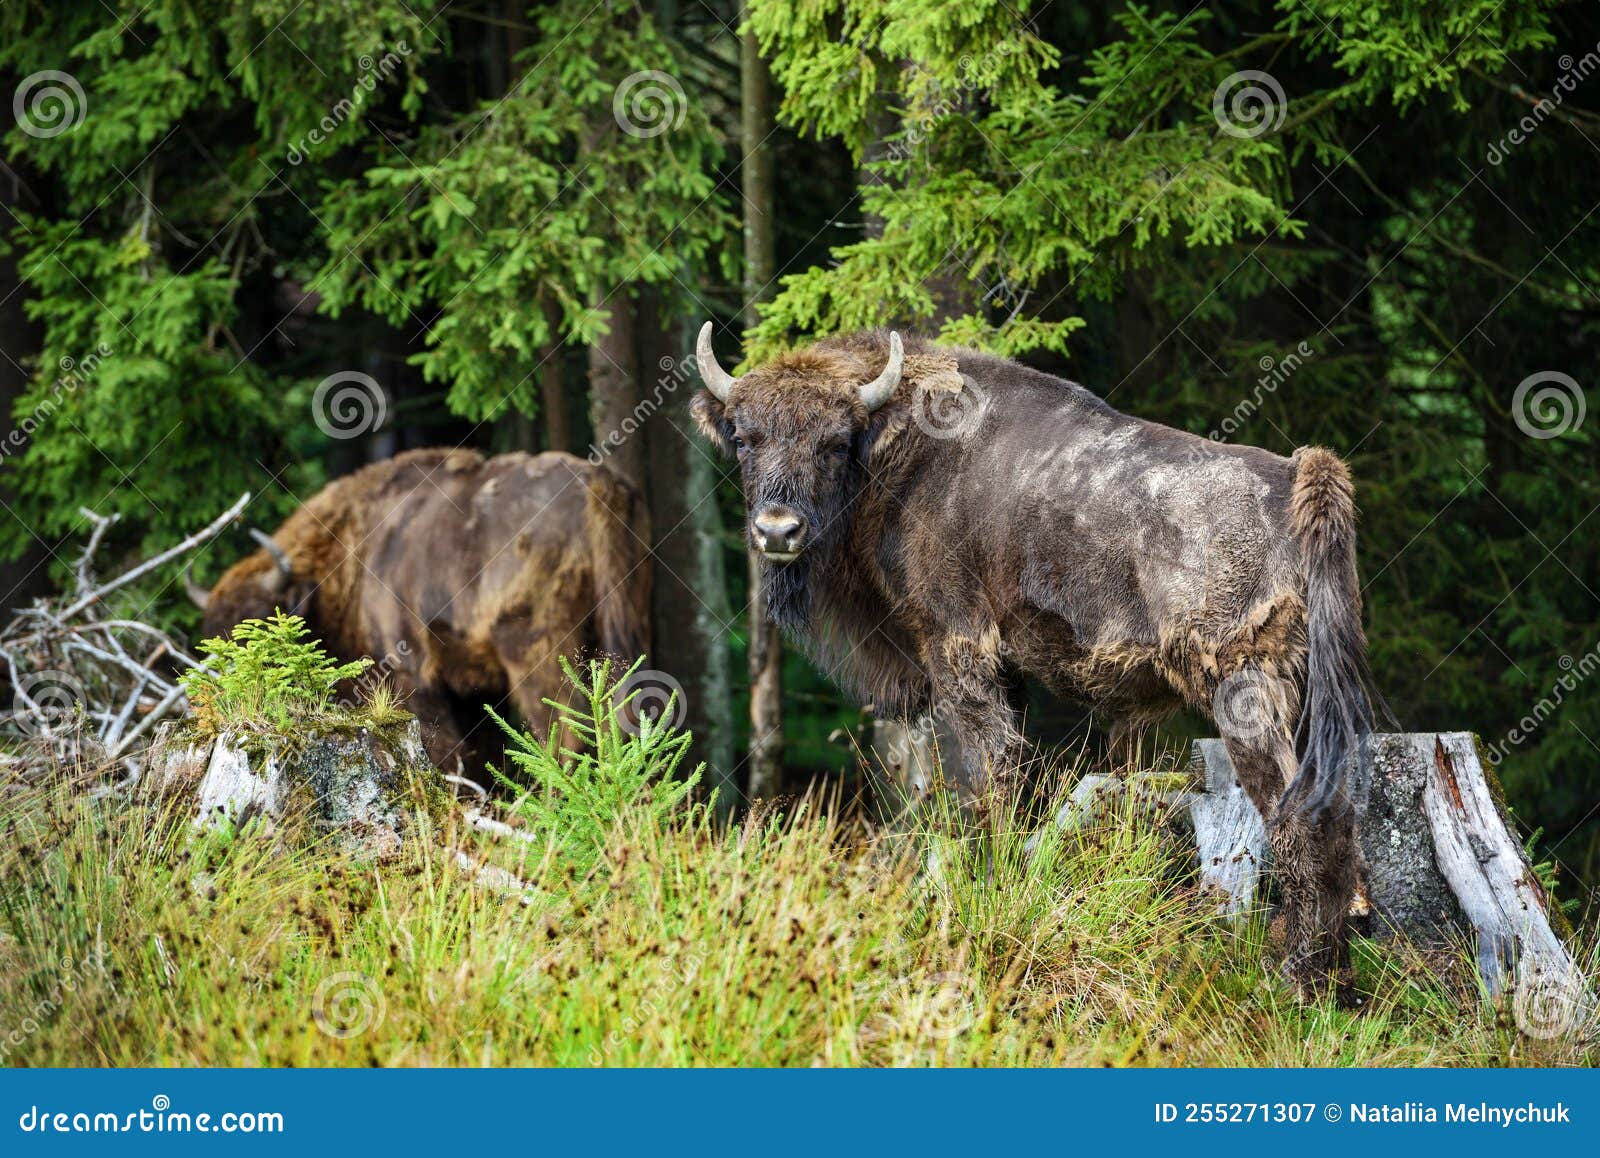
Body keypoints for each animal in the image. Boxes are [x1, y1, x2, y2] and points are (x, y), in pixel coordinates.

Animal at [189, 448, 650, 779]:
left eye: (263, 634)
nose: (237, 703)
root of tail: (596, 484)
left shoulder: (412, 677)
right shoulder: (473, 693)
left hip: (536, 651)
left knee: (563, 733)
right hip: (619, 633)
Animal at [692, 323, 1376, 995]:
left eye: (835, 442)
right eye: (743, 438)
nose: (777, 531)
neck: (898, 446)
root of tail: (1297, 476)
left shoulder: (956, 647)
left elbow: (991, 774)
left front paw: (991, 886)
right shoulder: (1006, 669)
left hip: (1243, 691)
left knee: (1301, 817)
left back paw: (1298, 981)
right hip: (1310, 694)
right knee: (1339, 813)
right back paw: (1338, 975)